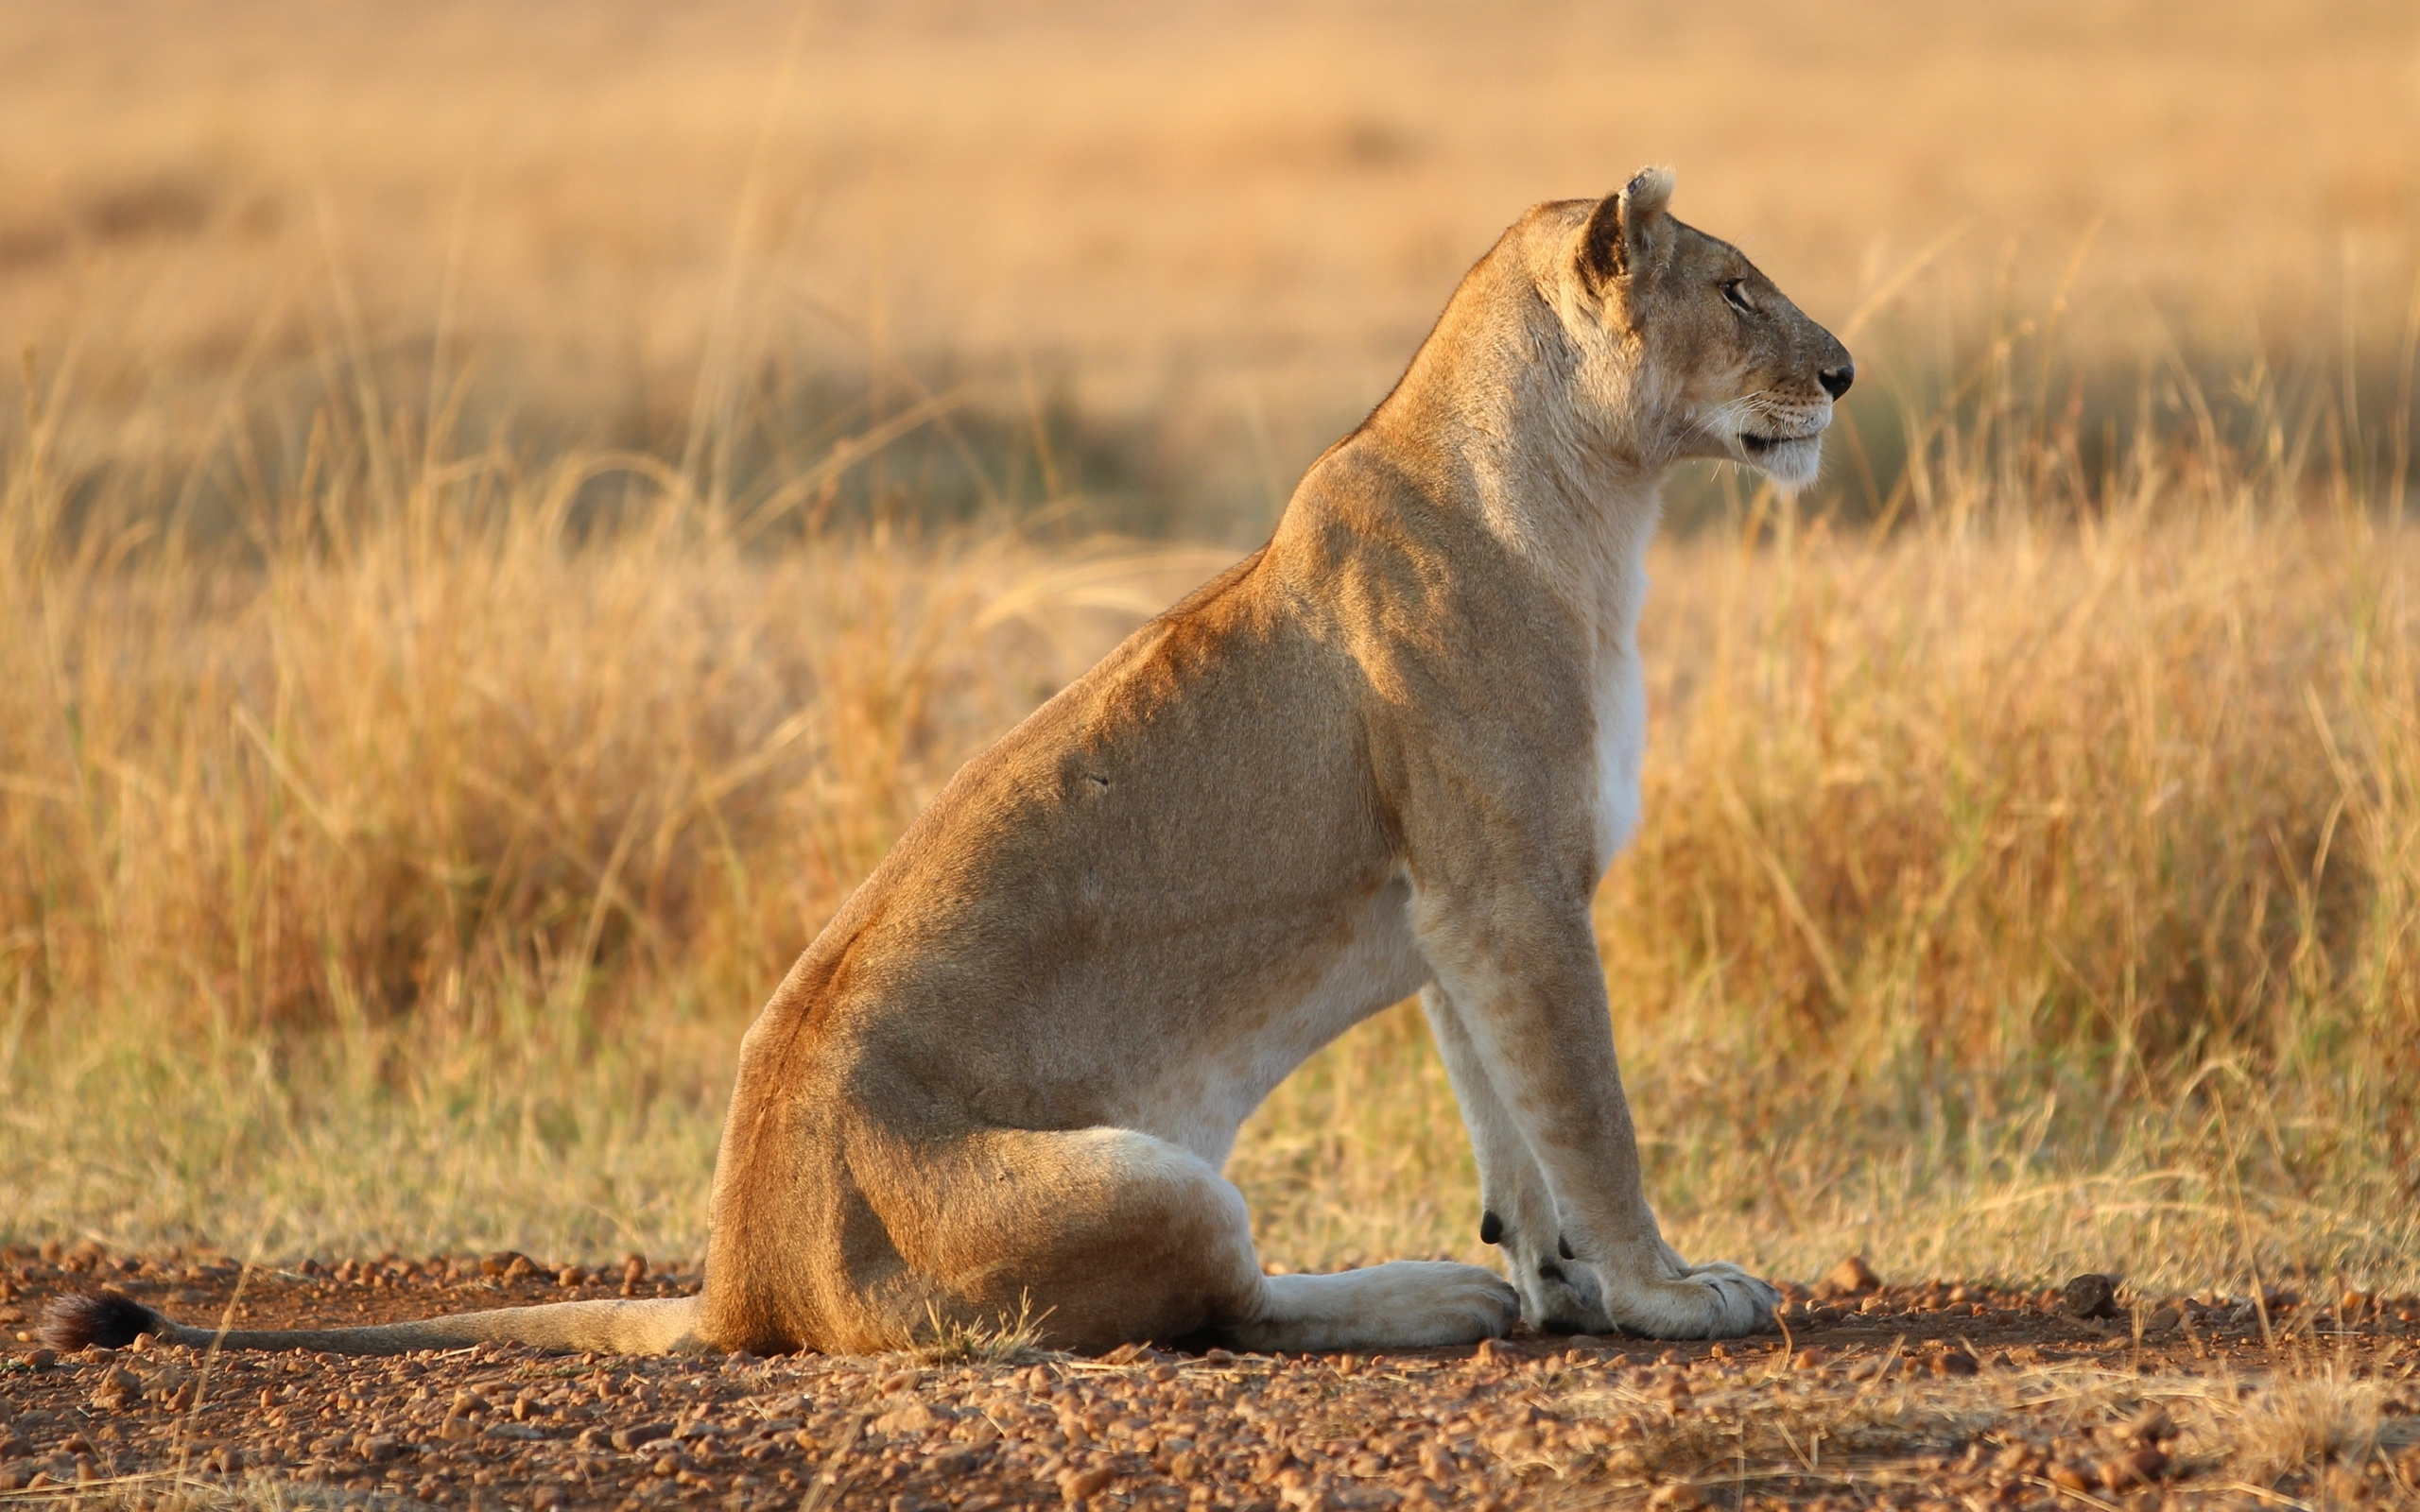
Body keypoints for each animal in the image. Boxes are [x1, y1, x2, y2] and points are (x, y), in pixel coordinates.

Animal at [48, 168, 1851, 1358]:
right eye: (1737, 288)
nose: (1841, 374)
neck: (1599, 503)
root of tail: (739, 1272)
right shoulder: (1512, 891)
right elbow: (1589, 1113)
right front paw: (1668, 1291)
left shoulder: (1461, 904)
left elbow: (1512, 1121)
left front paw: (1568, 1285)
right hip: (1148, 1179)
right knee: (1220, 1310)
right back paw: (1426, 1295)